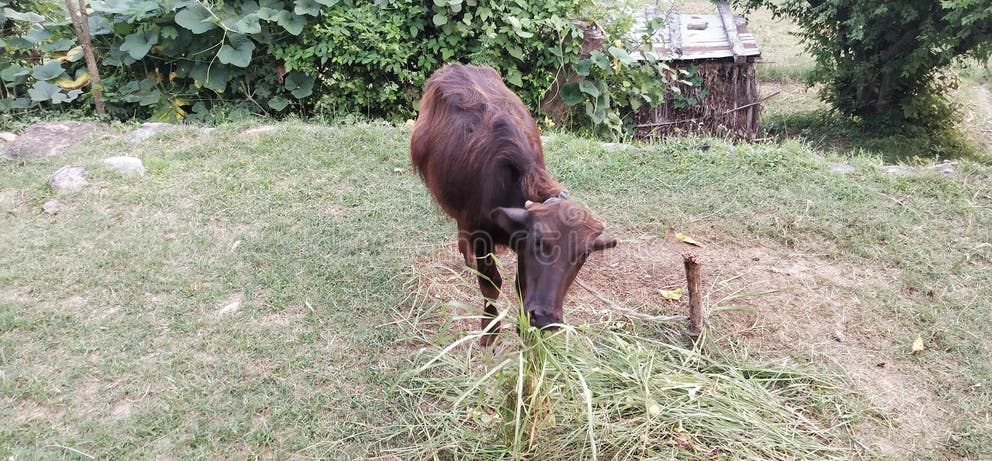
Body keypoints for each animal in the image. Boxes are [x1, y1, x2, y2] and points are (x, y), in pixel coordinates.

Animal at [410, 63, 616, 344]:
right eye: (539, 242)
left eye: (584, 253)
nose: (545, 318)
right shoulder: (481, 235)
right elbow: (490, 284)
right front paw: (489, 332)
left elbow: (522, 286)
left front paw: (524, 329)